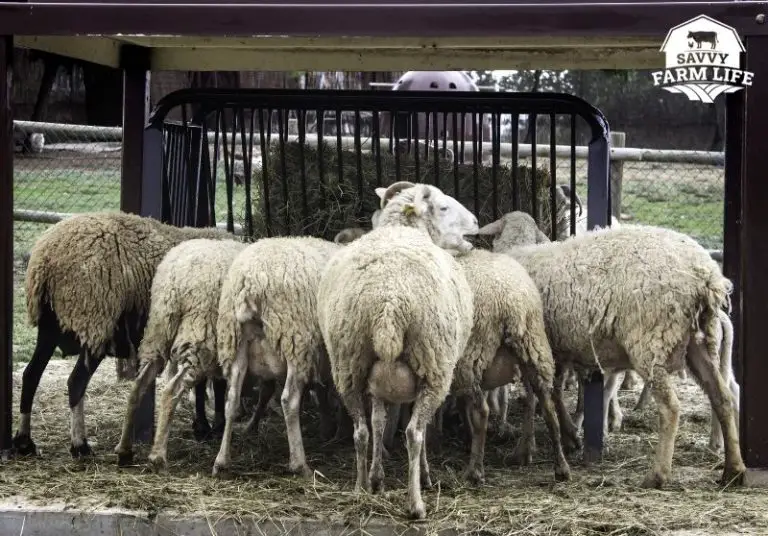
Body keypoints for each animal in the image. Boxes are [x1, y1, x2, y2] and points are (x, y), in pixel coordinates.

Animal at [16, 211, 233, 458]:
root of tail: (46, 258)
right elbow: (213, 383)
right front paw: (212, 426)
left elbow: (202, 382)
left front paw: (203, 425)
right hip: (95, 318)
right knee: (76, 382)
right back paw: (80, 445)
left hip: (50, 325)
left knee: (31, 375)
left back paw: (24, 441)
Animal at [114, 238, 247, 469]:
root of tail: (176, 279)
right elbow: (221, 389)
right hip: (201, 330)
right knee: (171, 390)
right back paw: (157, 455)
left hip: (159, 329)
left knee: (138, 386)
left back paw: (124, 449)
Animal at [212, 235, 345, 478]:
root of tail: (251, 282)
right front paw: (333, 430)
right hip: (296, 339)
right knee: (288, 400)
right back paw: (300, 464)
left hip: (235, 340)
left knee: (232, 398)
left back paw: (221, 461)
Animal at [317, 181, 478, 519]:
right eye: (443, 207)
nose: (476, 221)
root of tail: (388, 304)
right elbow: (418, 431)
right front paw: (424, 476)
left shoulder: (377, 385)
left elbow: (378, 423)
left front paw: (377, 477)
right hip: (434, 364)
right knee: (414, 433)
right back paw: (416, 503)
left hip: (349, 363)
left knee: (361, 431)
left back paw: (360, 489)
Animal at [476, 211, 745, 488]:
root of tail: (706, 274)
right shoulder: (557, 350)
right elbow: (555, 394)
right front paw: (570, 435)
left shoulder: (532, 343)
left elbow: (533, 398)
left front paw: (524, 449)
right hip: (699, 342)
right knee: (722, 397)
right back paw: (733, 469)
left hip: (650, 340)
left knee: (671, 407)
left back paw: (657, 474)